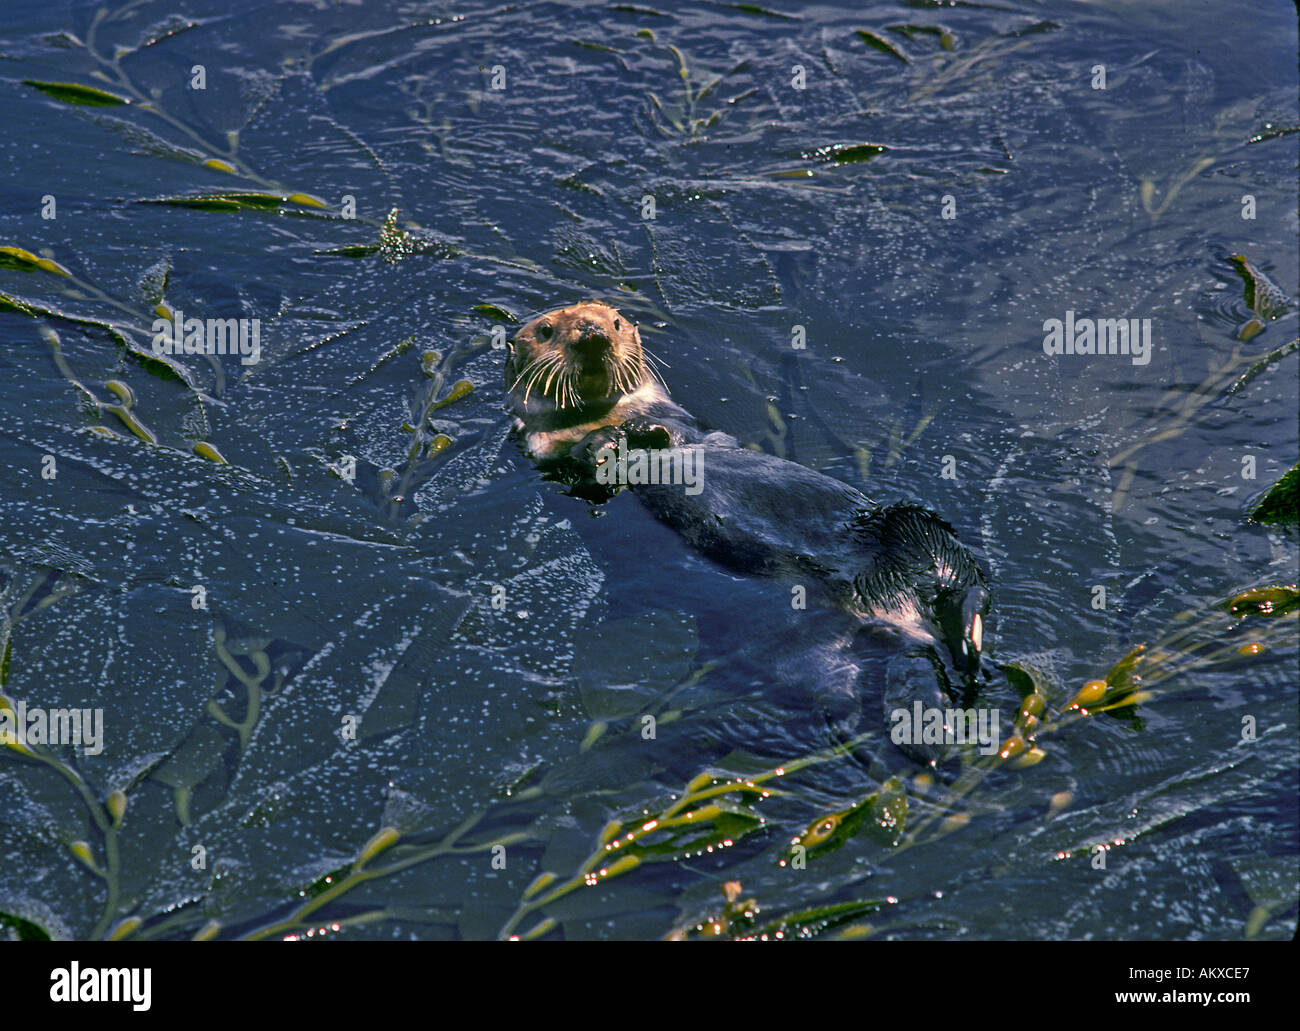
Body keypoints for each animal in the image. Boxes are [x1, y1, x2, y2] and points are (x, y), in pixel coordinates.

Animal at [505, 301, 990, 763]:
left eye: (616, 321)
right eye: (546, 330)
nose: (592, 334)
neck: (601, 416)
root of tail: (897, 619)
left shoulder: (683, 421)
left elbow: (675, 434)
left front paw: (642, 433)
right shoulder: (548, 455)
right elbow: (588, 466)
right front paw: (608, 444)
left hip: (909, 527)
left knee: (962, 579)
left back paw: (967, 643)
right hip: (797, 650)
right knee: (842, 689)